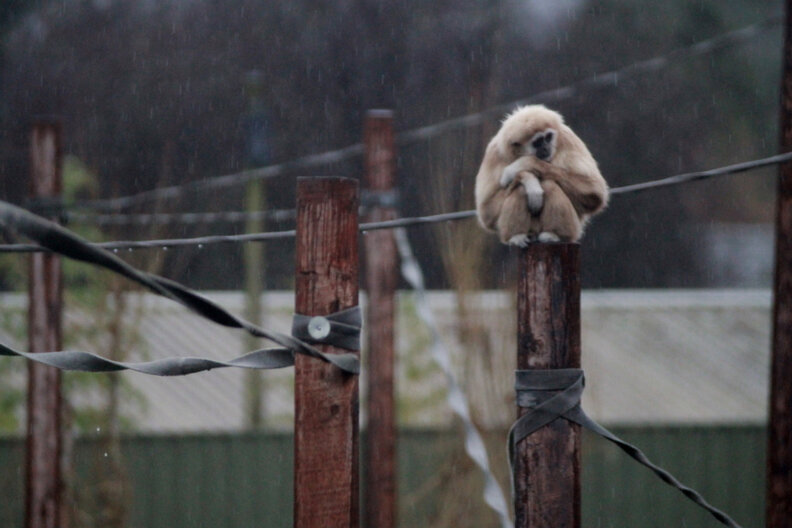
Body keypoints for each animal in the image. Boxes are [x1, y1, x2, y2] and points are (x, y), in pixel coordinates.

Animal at [474, 105, 609, 245]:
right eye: (538, 142)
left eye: (548, 137)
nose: (546, 147)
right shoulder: (494, 153)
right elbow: (487, 211)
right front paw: (530, 182)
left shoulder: (567, 138)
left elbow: (594, 191)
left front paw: (521, 165)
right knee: (520, 189)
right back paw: (517, 236)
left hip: (574, 229)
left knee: (549, 184)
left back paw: (554, 234)